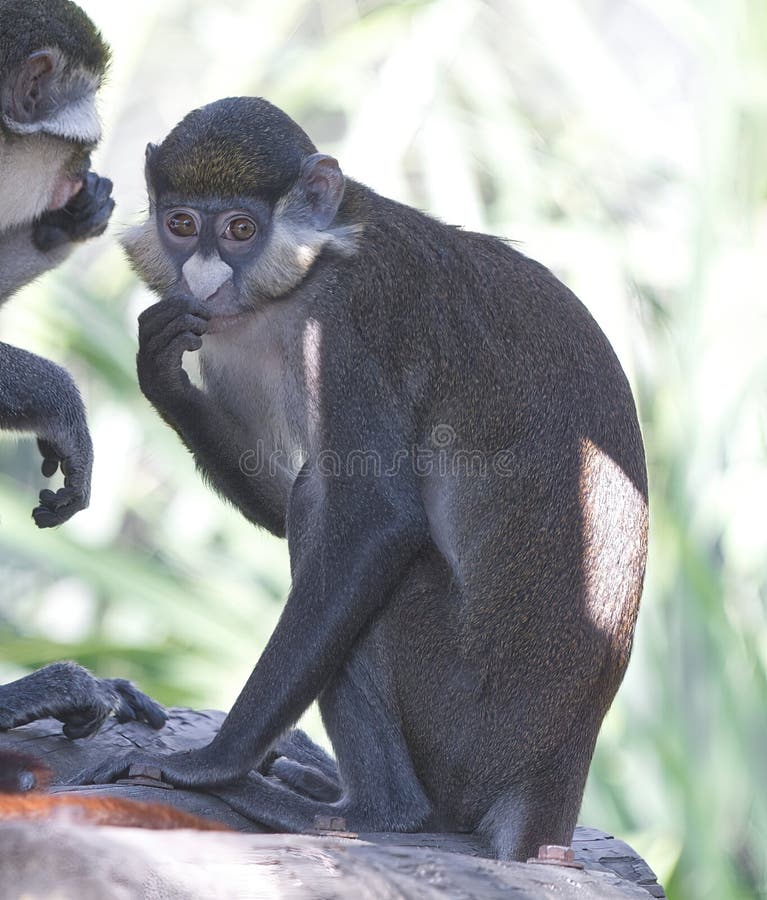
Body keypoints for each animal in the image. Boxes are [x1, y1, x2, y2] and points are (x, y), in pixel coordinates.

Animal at [80, 96, 649, 862]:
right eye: (181, 224)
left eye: (239, 230)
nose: (202, 280)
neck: (308, 266)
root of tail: (549, 782)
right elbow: (277, 499)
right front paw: (159, 367)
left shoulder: (346, 327)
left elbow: (374, 516)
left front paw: (207, 764)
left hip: (457, 714)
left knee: (320, 509)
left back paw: (375, 809)